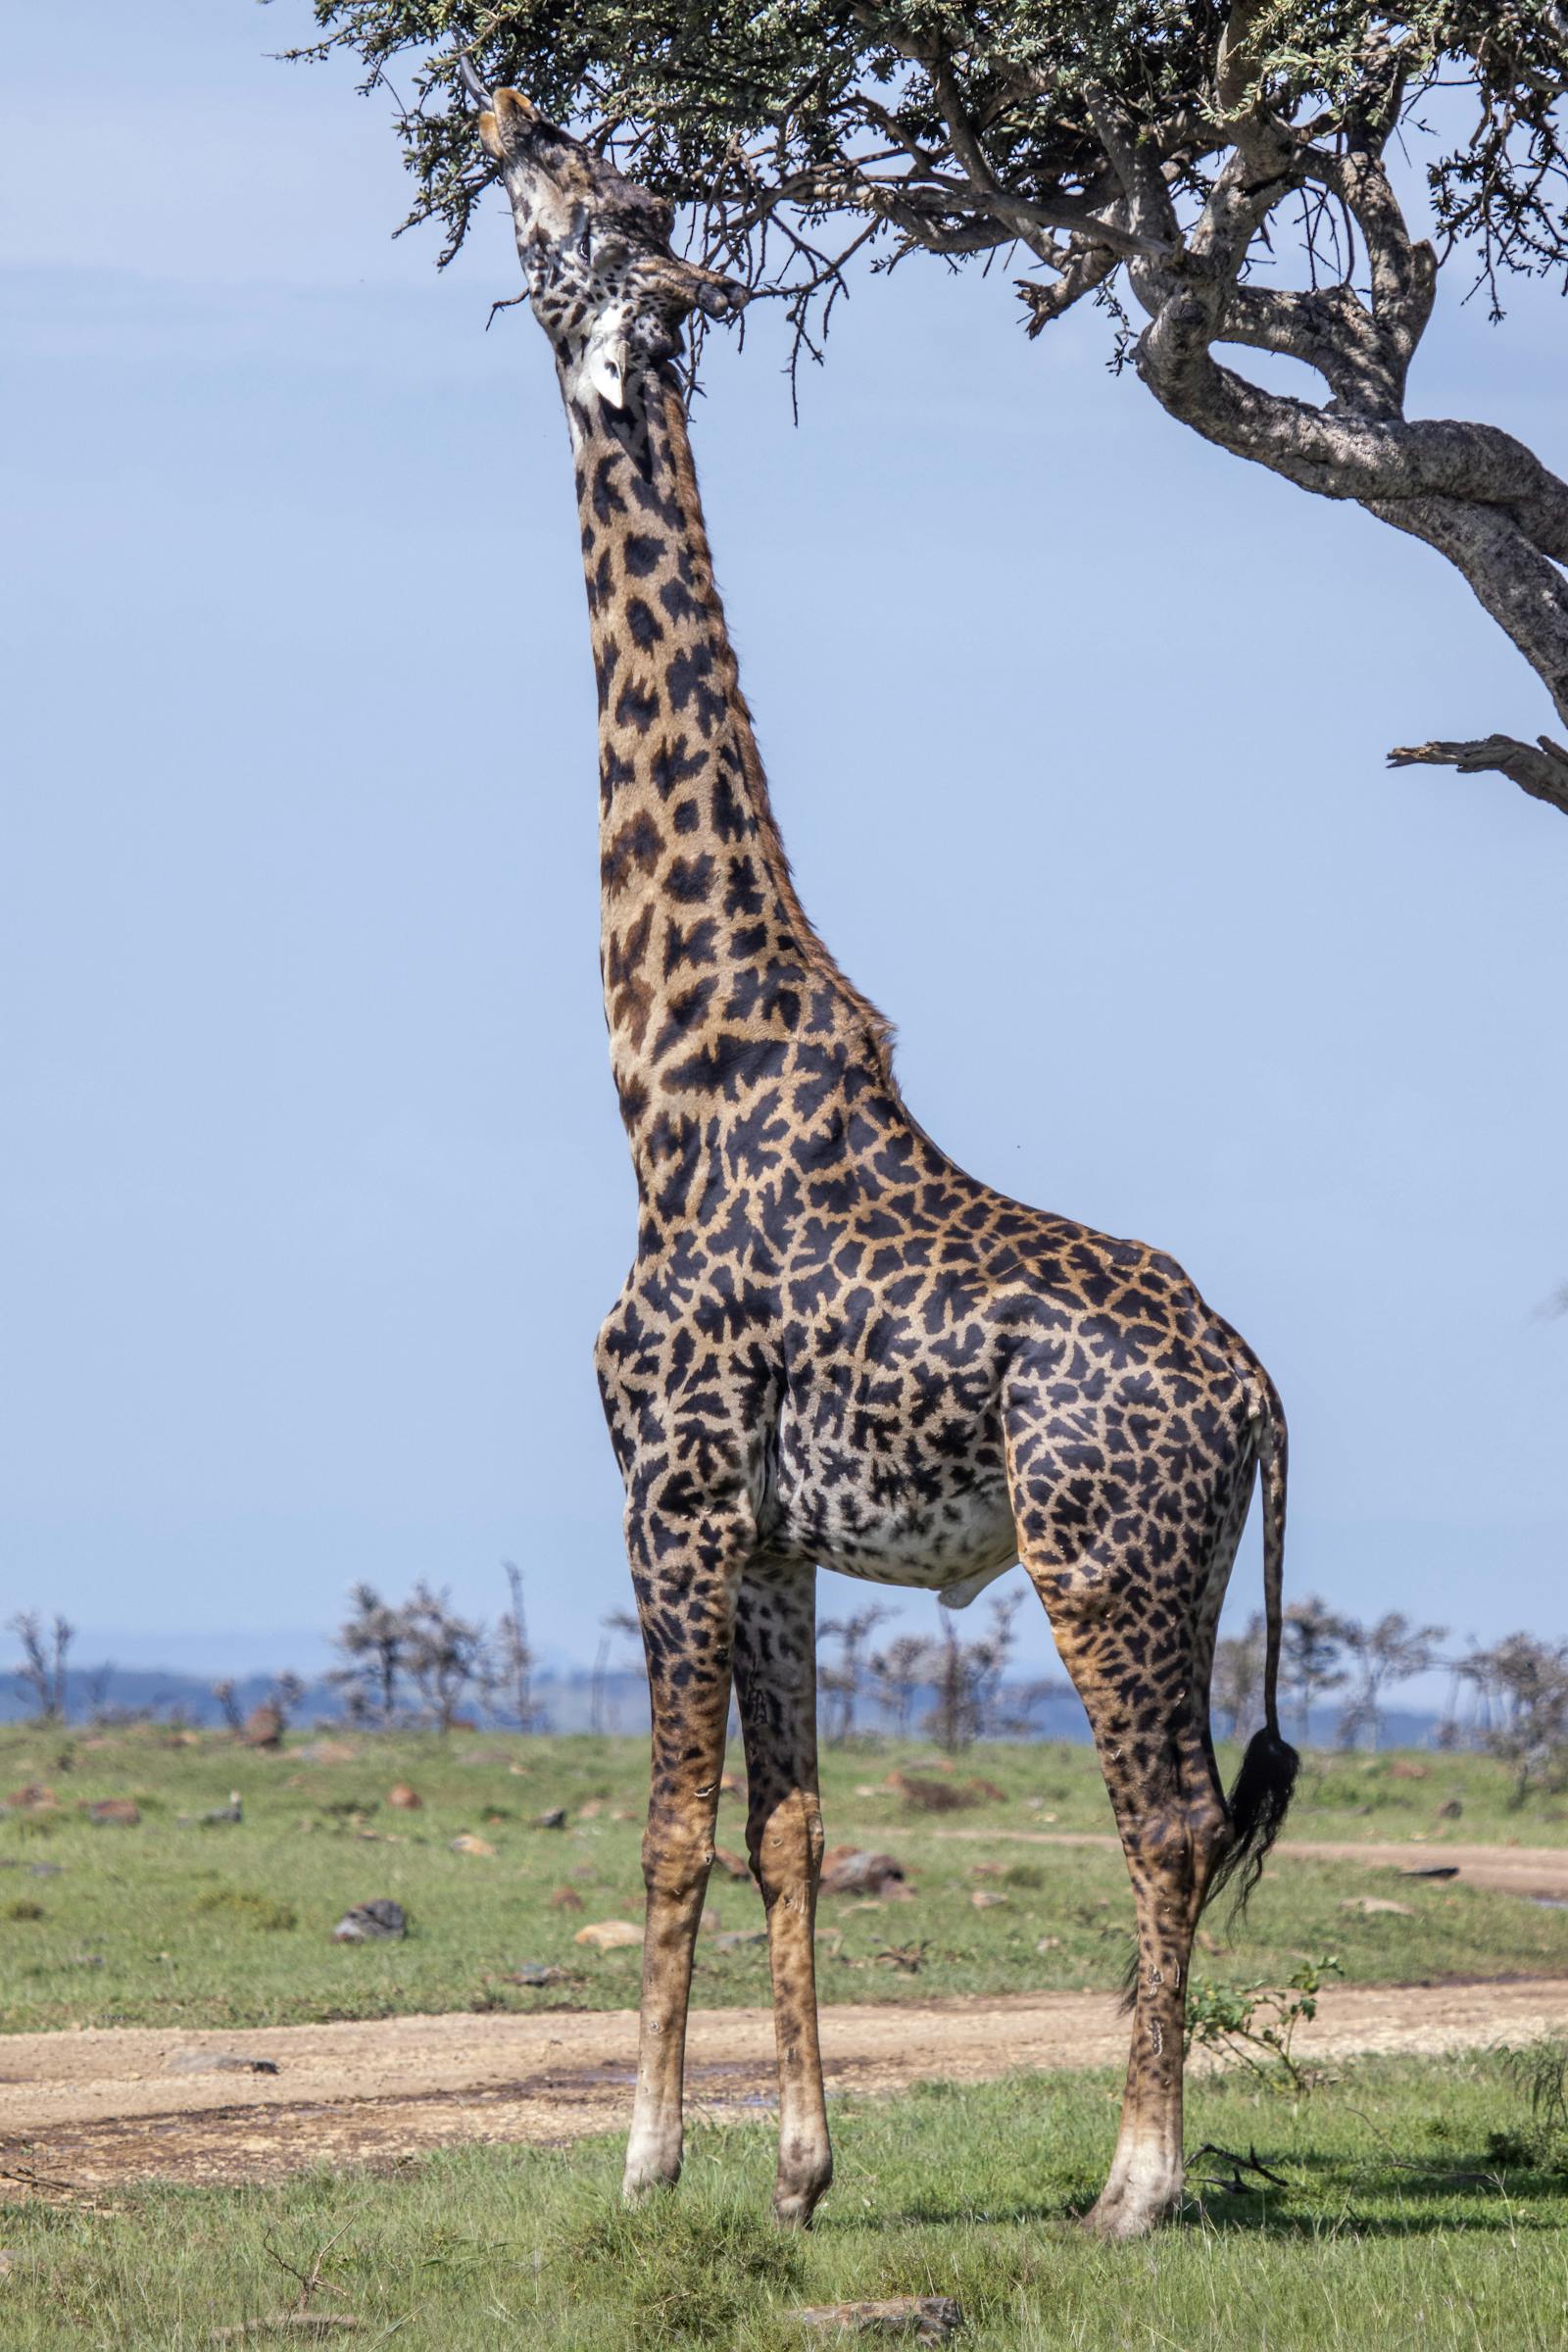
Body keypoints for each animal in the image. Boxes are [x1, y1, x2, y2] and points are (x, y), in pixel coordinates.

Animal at [465, 71, 1300, 2241]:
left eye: (587, 209)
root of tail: (1258, 1388)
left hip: (1098, 1552)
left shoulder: (668, 1500)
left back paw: (1134, 2185)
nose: (503, 99)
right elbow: (789, 1830)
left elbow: (663, 1833)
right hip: (1173, 1570)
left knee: (1167, 1817)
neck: (666, 1080)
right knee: (1192, 1812)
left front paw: (644, 2163)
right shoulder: (773, 1539)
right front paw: (798, 2169)